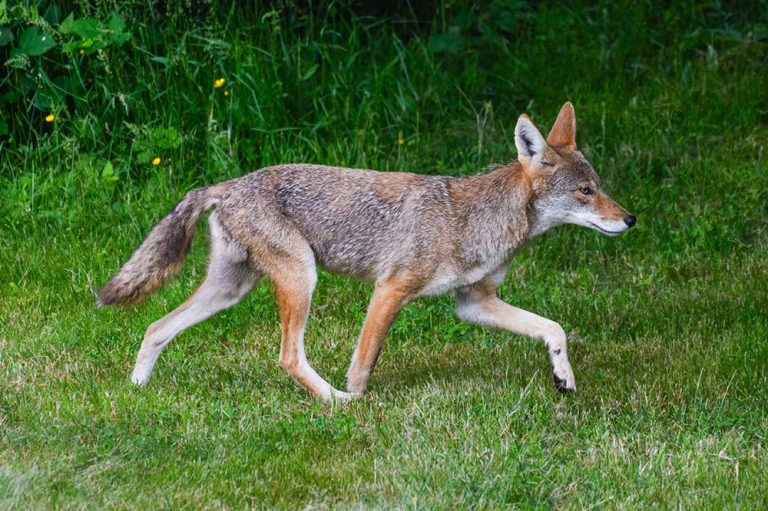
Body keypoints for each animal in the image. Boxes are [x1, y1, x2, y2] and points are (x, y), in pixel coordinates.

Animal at [97, 103, 635, 401]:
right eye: (586, 192)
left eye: (600, 187)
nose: (630, 219)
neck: (483, 219)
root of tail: (228, 184)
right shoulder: (390, 290)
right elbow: (363, 363)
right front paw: (358, 403)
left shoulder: (474, 304)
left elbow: (554, 329)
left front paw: (563, 379)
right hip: (302, 280)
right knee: (288, 357)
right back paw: (334, 403)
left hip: (230, 291)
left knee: (156, 327)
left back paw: (136, 392)